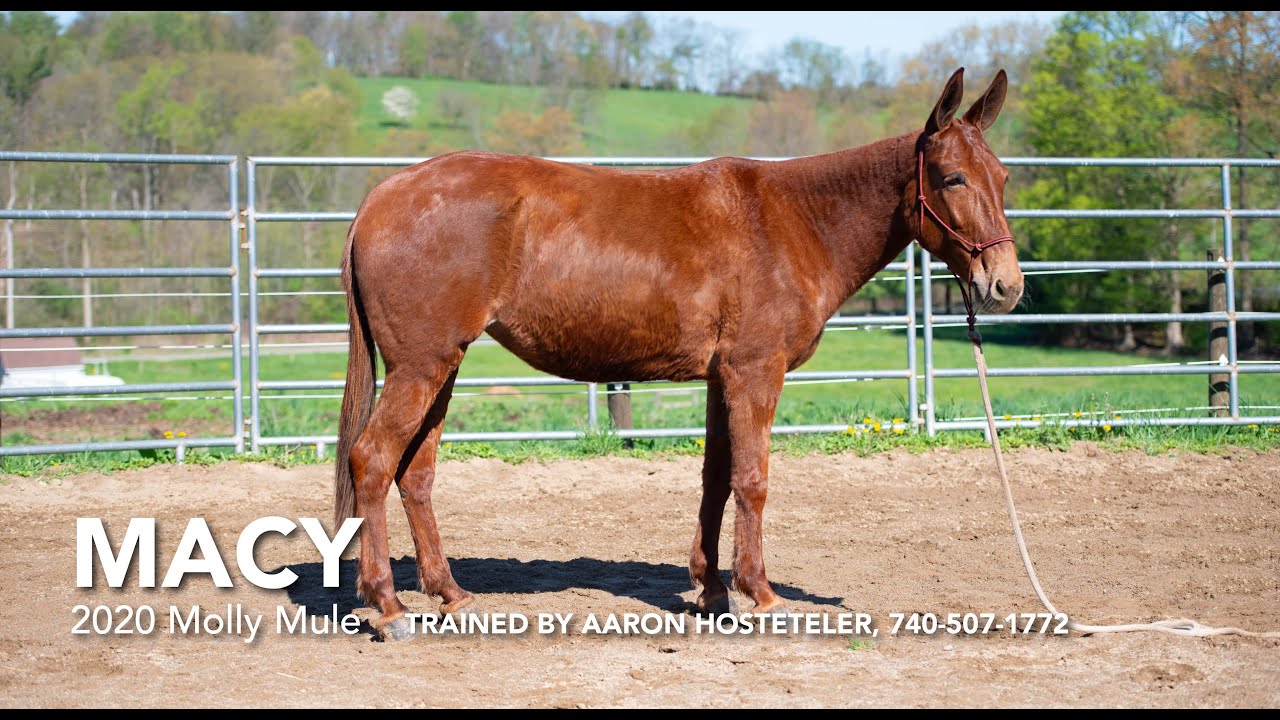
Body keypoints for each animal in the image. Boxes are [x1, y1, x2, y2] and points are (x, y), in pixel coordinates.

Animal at [335, 67, 1024, 641]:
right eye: (953, 177)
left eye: (1003, 178)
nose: (1006, 286)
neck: (795, 221)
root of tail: (379, 197)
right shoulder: (755, 372)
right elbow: (752, 480)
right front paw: (761, 595)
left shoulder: (723, 378)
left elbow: (716, 478)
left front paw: (713, 590)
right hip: (421, 368)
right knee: (372, 461)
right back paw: (389, 607)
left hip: (441, 367)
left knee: (414, 474)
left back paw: (451, 594)